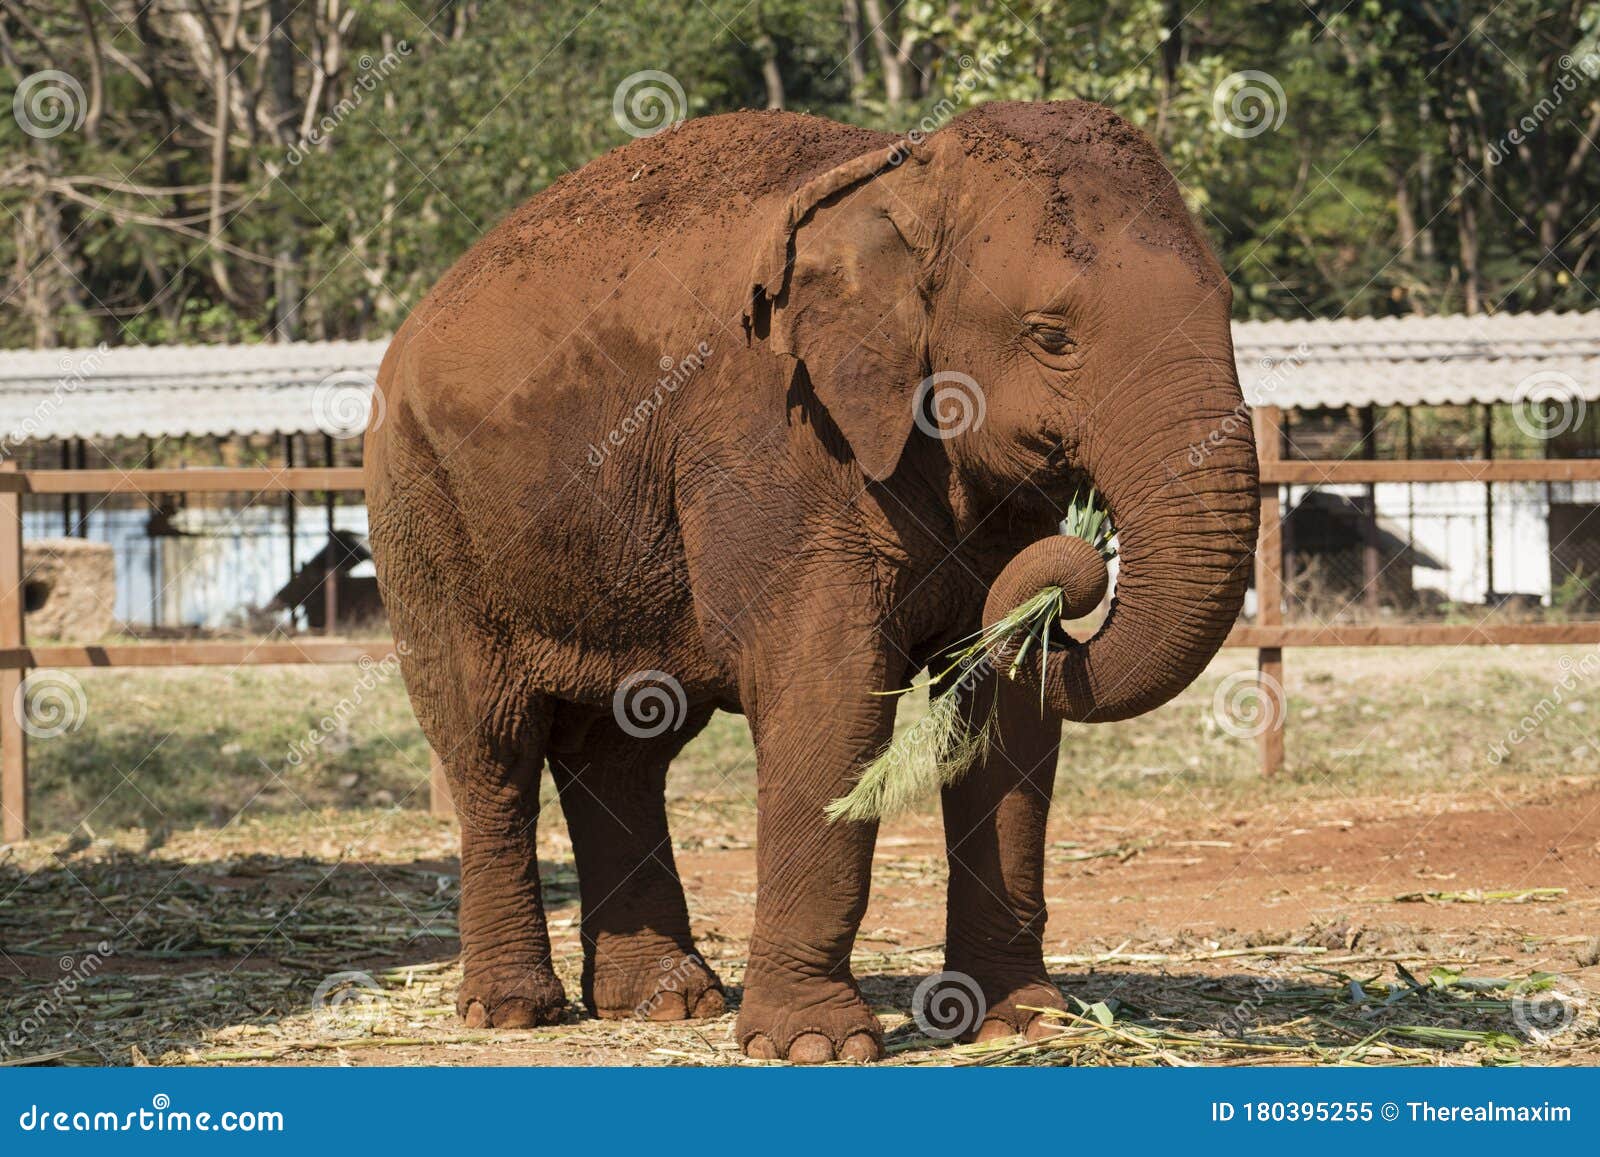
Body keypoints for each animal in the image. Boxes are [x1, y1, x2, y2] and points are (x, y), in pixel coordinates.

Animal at [364, 99, 1259, 1063]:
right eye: (1052, 336)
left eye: (1229, 306)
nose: (1076, 576)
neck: (902, 176)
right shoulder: (772, 433)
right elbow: (828, 690)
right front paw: (814, 1046)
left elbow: (1007, 709)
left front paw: (1024, 1020)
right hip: (424, 516)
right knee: (490, 746)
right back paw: (513, 1010)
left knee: (624, 747)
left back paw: (668, 1003)